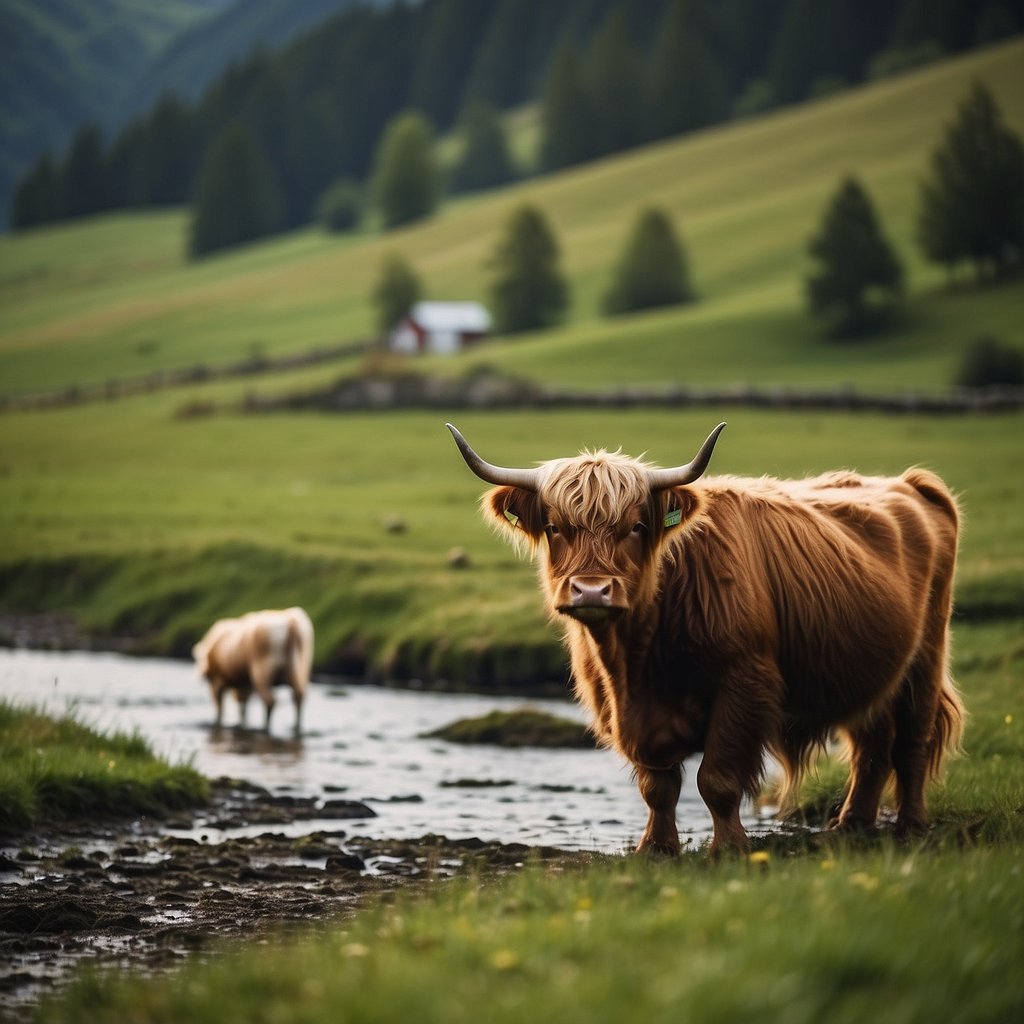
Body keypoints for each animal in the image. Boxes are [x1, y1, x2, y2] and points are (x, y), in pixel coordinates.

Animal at [447, 421, 965, 856]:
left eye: (636, 526)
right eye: (555, 527)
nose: (592, 590)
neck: (639, 657)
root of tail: (907, 483)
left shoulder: (745, 682)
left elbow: (717, 779)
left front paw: (729, 849)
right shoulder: (625, 708)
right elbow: (657, 788)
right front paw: (655, 849)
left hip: (926, 656)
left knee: (912, 740)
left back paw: (912, 826)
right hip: (870, 667)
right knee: (871, 744)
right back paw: (851, 825)